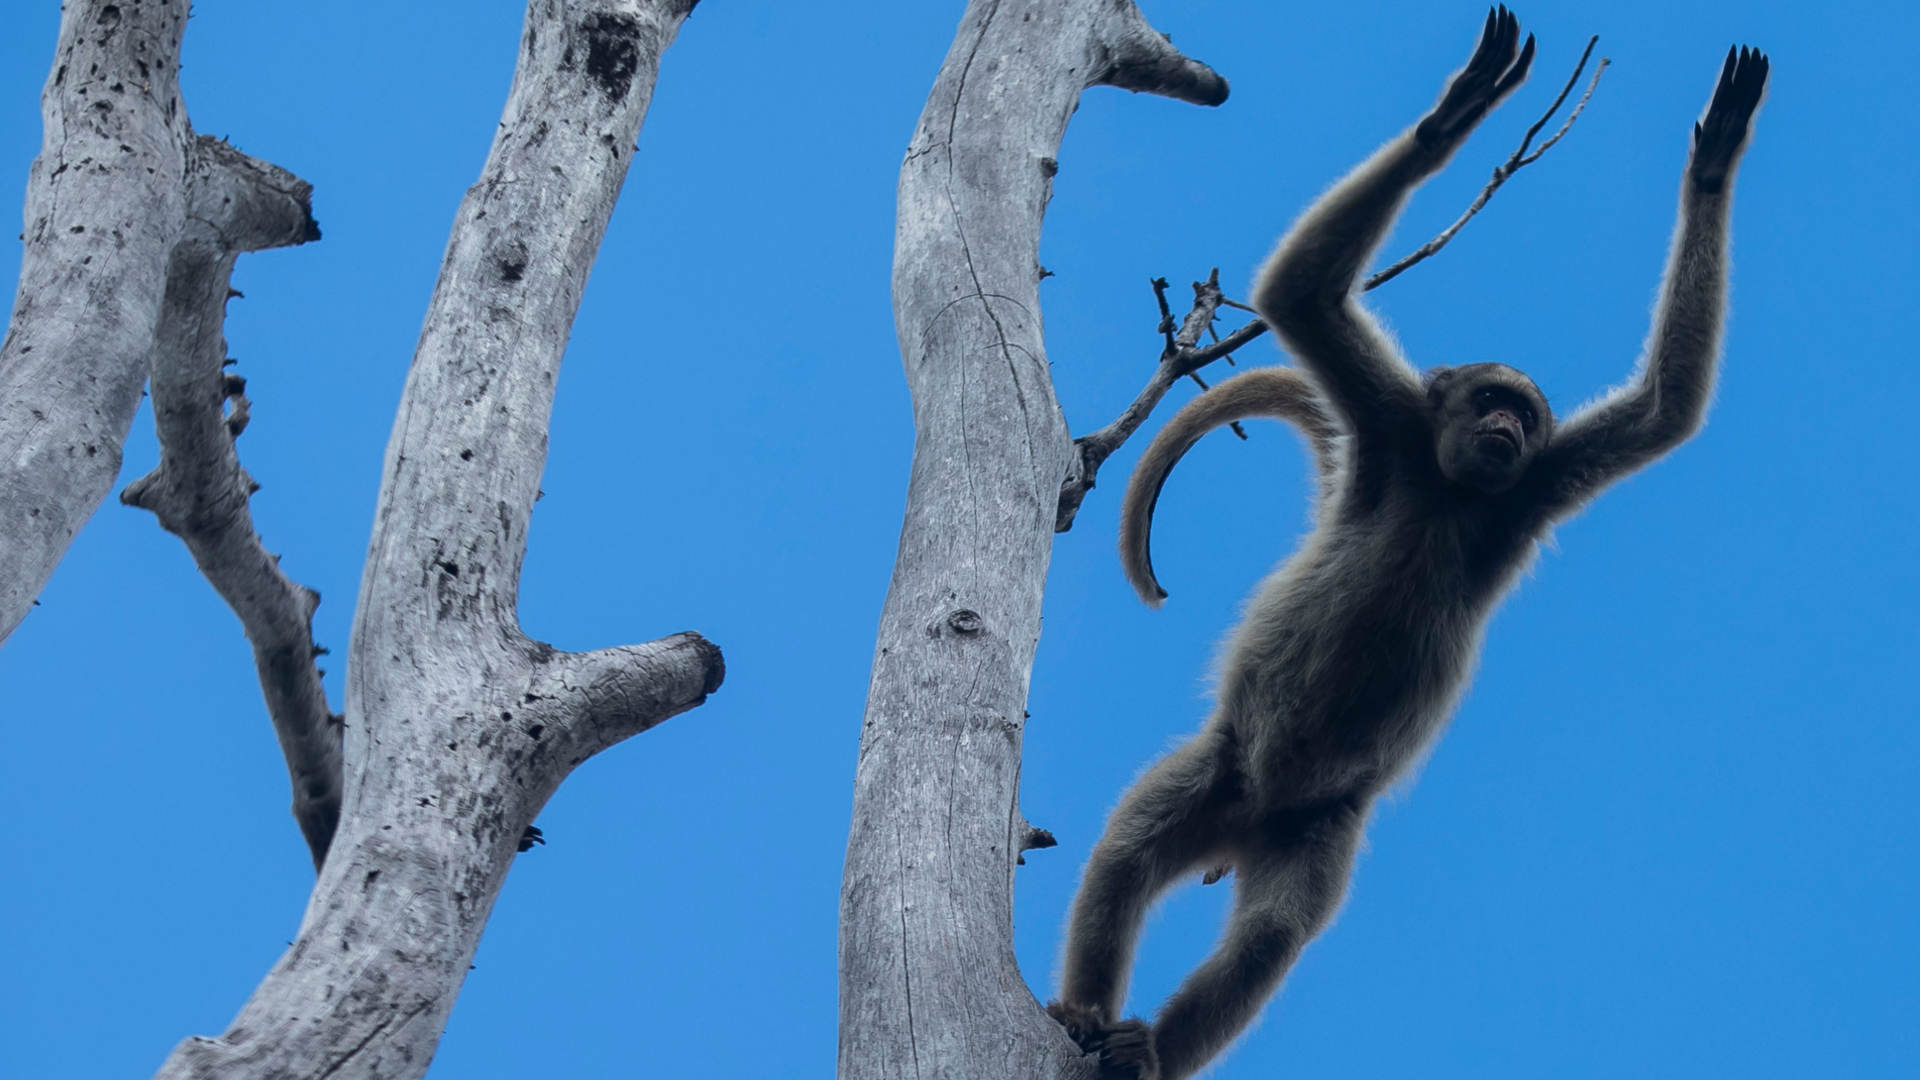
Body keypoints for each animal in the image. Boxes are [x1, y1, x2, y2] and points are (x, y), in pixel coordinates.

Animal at [1047, 12, 1768, 1080]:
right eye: (1492, 401)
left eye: (1524, 415)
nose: (1506, 426)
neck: (1451, 492)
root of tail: (1245, 823)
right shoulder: (1391, 426)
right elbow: (1299, 296)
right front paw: (1460, 109)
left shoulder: (1530, 487)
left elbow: (1666, 411)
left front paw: (1715, 160)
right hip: (1227, 768)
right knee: (1132, 848)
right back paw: (1092, 1015)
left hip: (1314, 826)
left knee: (1269, 934)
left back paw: (1150, 1050)